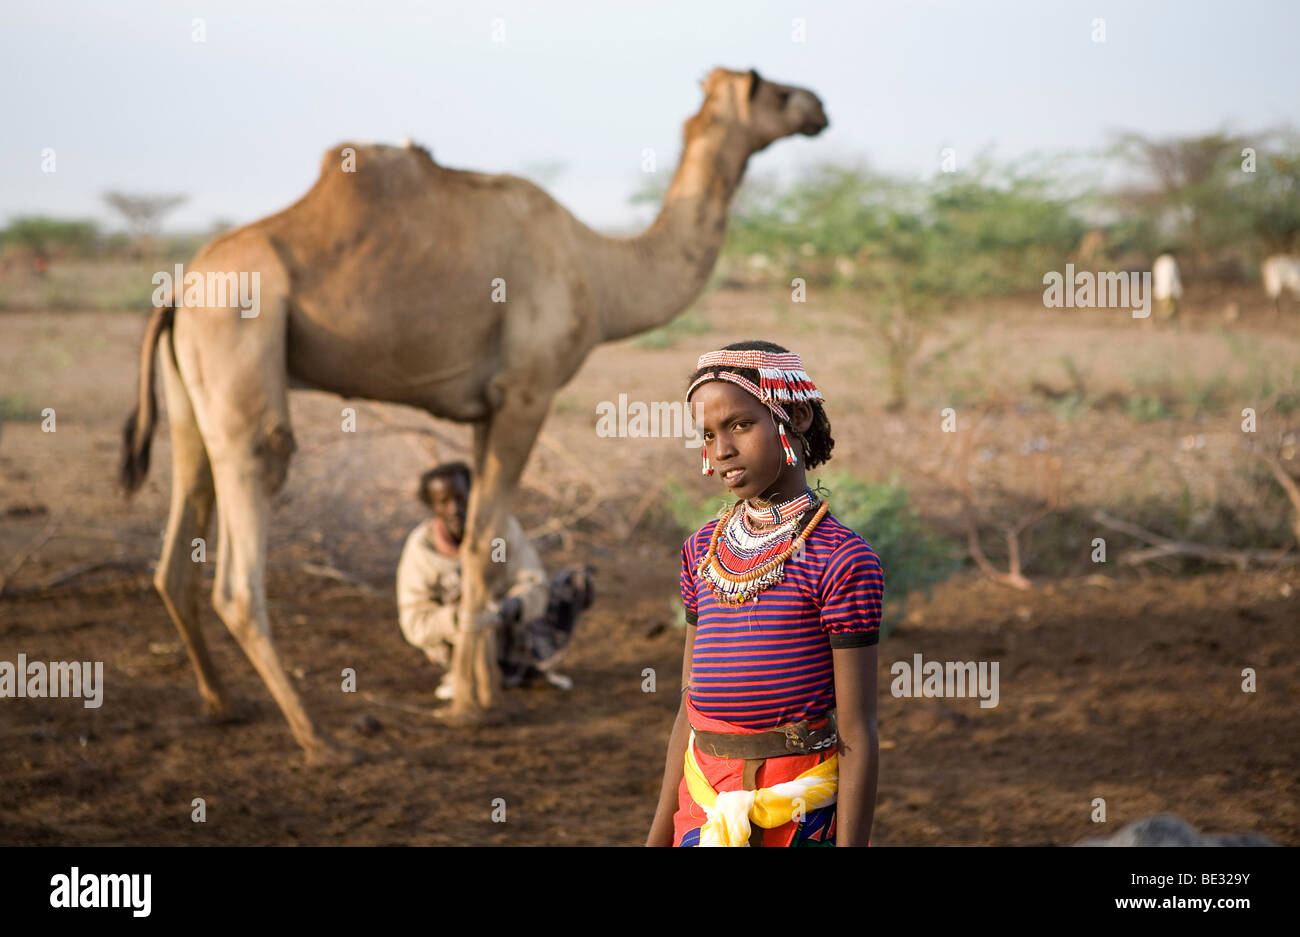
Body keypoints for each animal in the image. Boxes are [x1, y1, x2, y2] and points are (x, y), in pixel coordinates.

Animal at [119, 66, 829, 761]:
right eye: (773, 89)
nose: (818, 107)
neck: (601, 272)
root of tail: (179, 290)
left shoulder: (486, 410)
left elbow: (480, 545)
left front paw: (484, 692)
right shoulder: (526, 394)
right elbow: (485, 542)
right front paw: (469, 705)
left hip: (192, 393)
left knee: (178, 544)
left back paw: (224, 704)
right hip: (242, 337)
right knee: (245, 540)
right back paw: (319, 740)